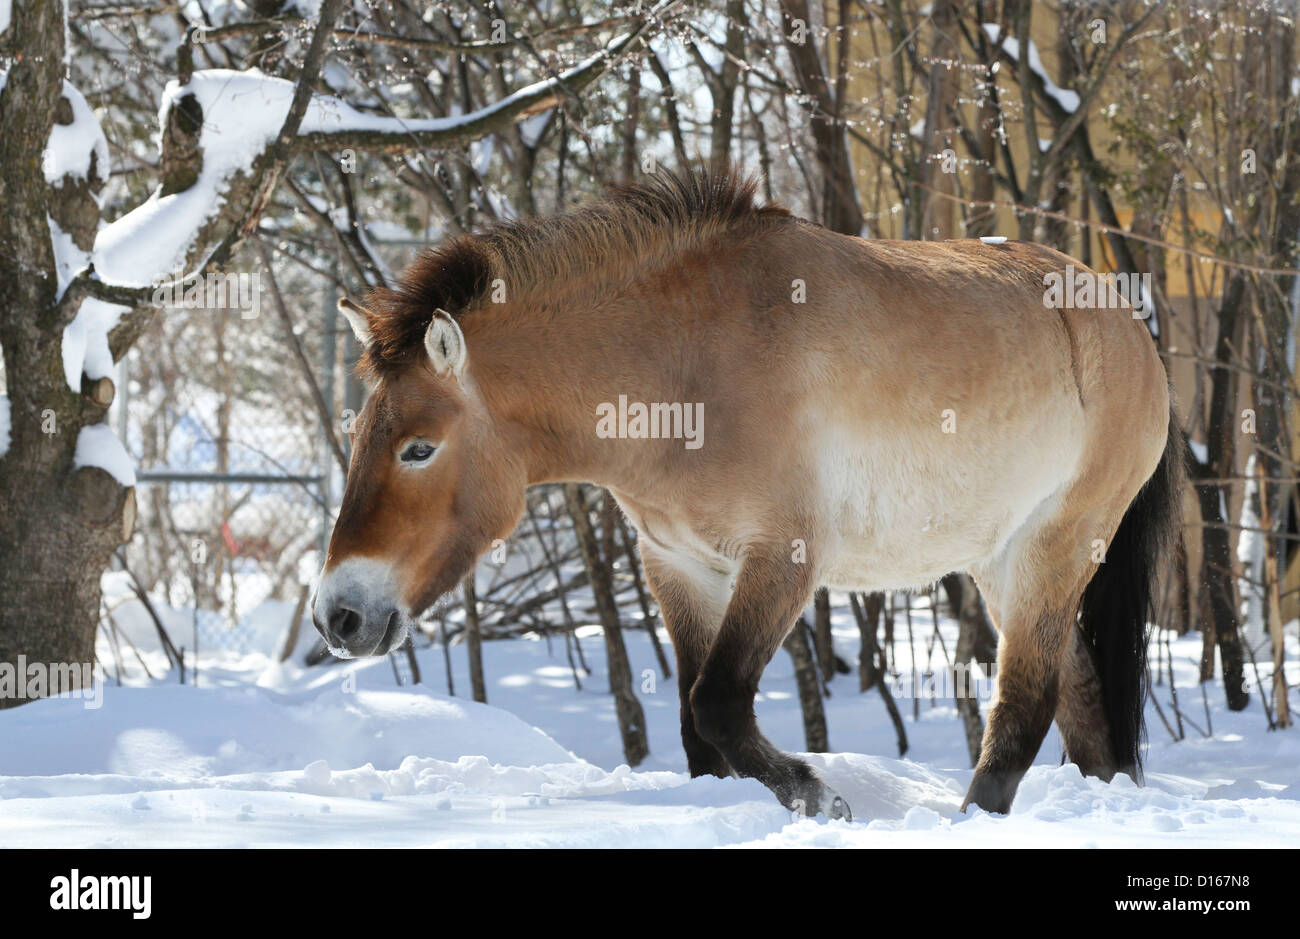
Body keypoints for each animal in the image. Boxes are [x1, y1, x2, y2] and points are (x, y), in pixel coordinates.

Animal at [312, 168, 1181, 819]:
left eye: (419, 447)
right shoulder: (680, 566)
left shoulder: (783, 558)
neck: (682, 369)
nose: (336, 616)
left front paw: (820, 797)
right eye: (359, 441)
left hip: (1053, 548)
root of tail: (1131, 328)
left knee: (1024, 708)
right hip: (1004, 562)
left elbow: (719, 701)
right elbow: (700, 731)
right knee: (1080, 702)